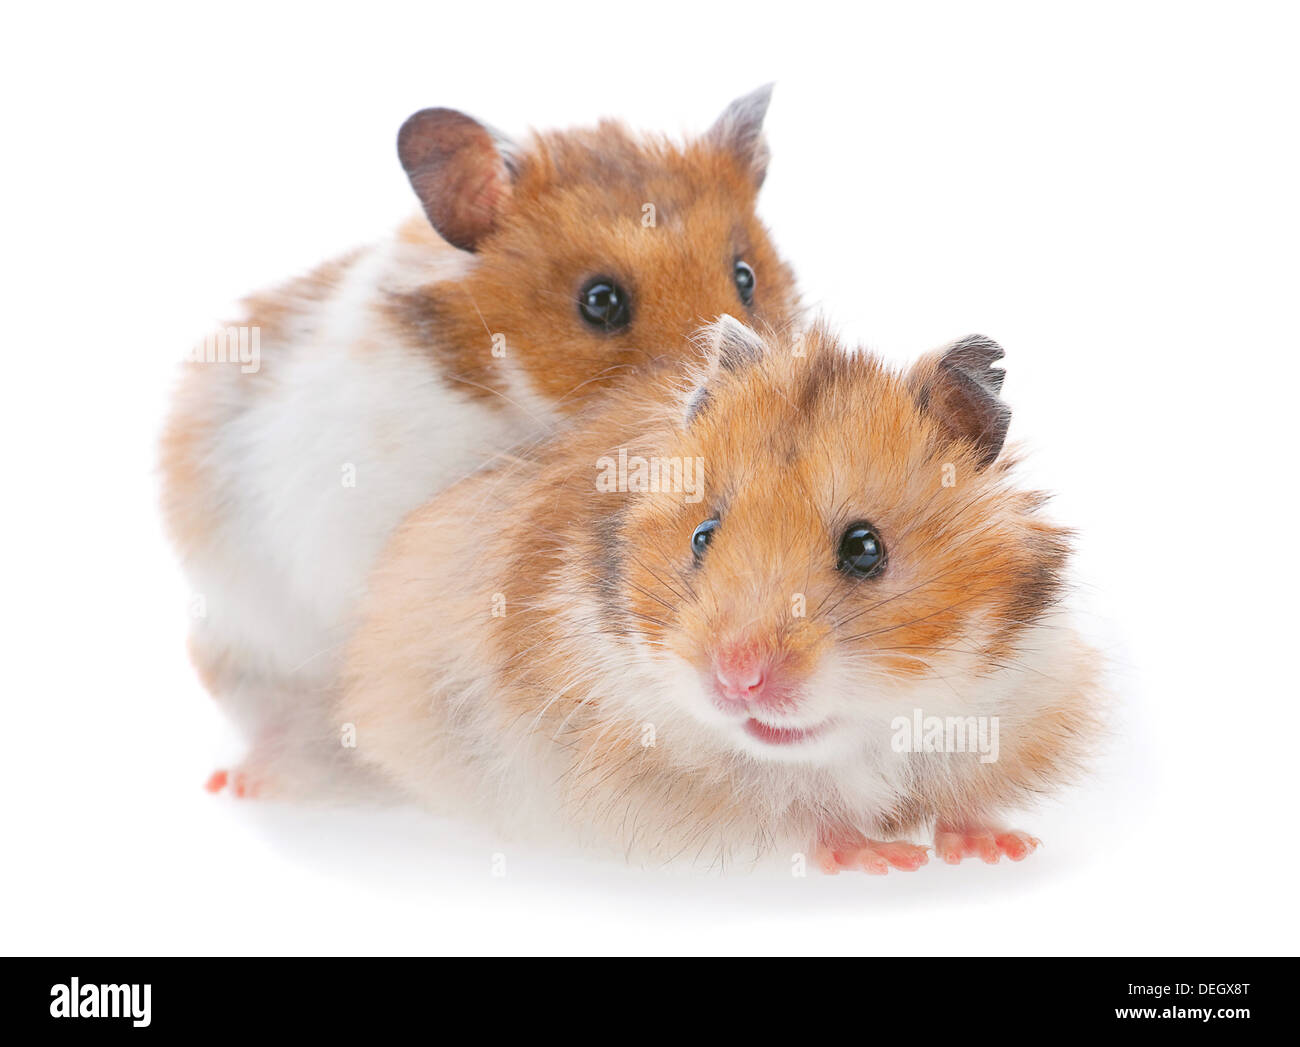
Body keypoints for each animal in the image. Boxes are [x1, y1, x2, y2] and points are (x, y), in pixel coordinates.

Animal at [340, 317, 1105, 871]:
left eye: (865, 549)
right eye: (702, 535)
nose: (736, 679)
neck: (869, 729)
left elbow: (962, 799)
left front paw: (1002, 849)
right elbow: (802, 814)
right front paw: (887, 860)